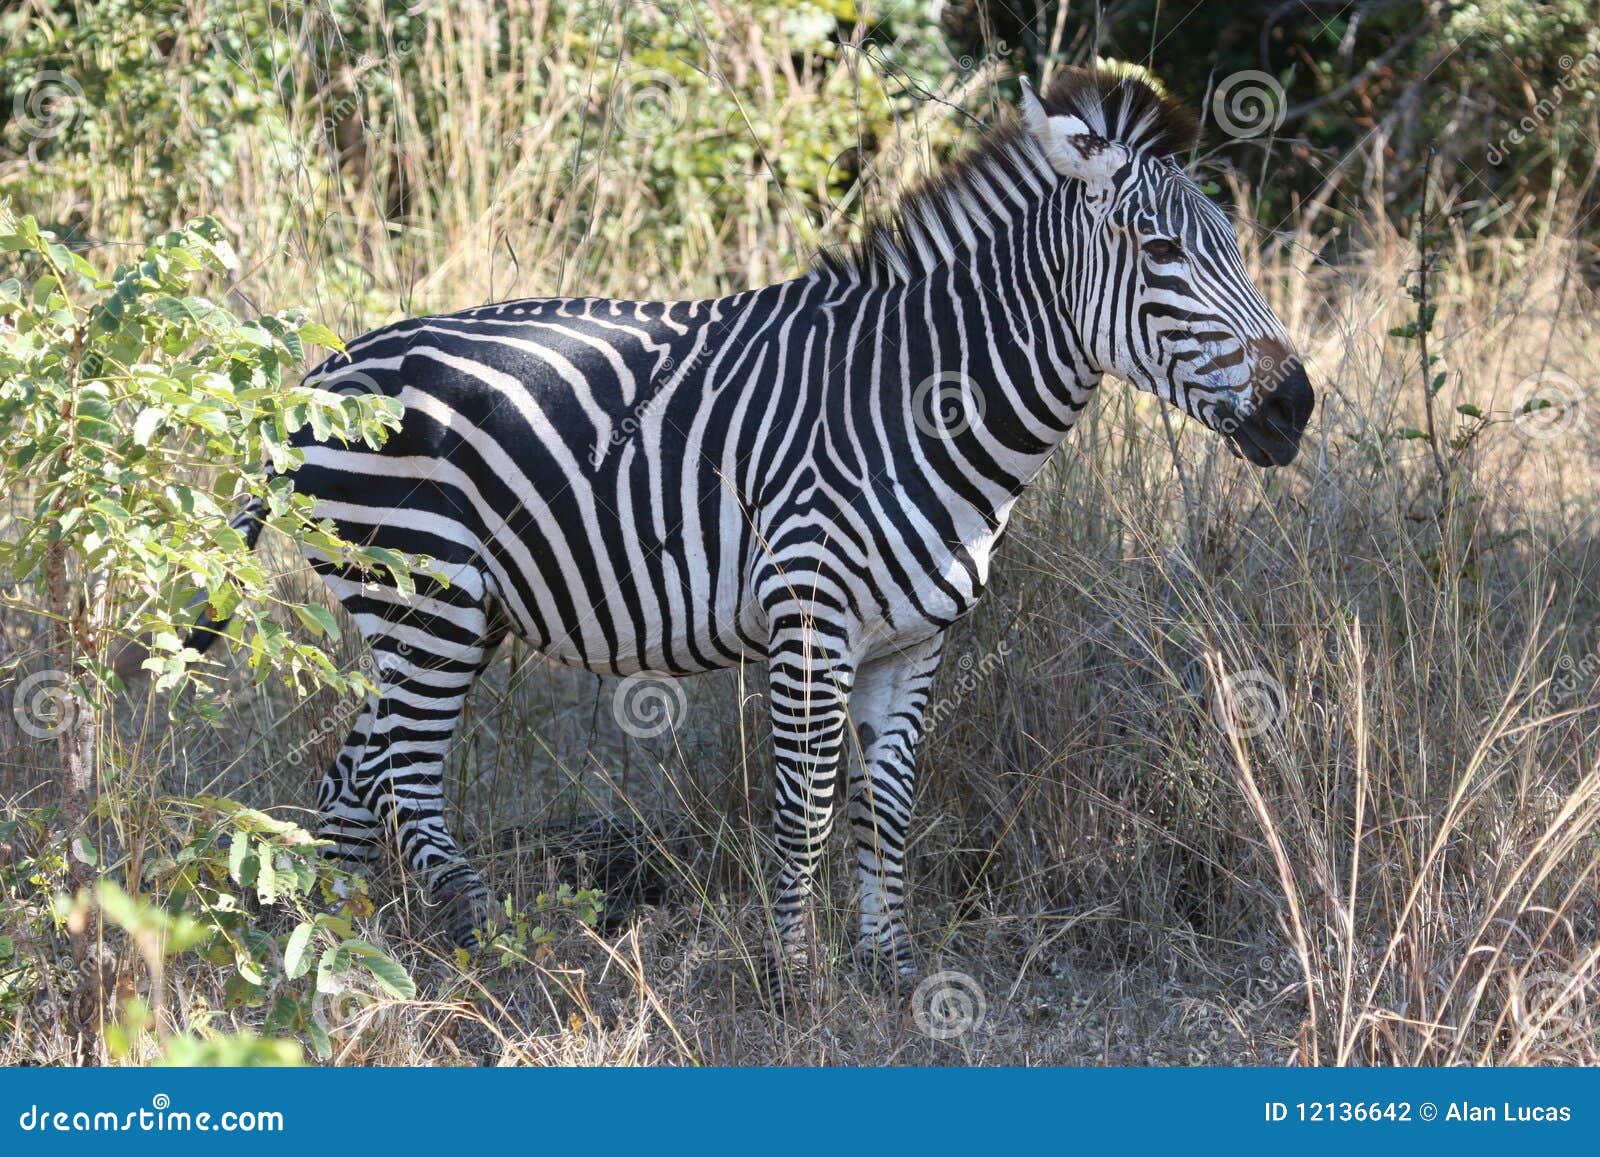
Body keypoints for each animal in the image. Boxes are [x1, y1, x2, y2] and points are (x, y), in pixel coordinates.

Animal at [184, 69, 1313, 980]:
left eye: (1235, 248)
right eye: (1159, 249)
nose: (1295, 407)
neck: (915, 399)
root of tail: (321, 374)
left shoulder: (913, 639)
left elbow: (887, 807)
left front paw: (892, 974)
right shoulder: (808, 618)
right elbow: (804, 808)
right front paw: (795, 981)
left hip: (432, 615)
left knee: (349, 781)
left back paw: (345, 964)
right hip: (428, 600)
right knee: (406, 785)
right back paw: (486, 957)